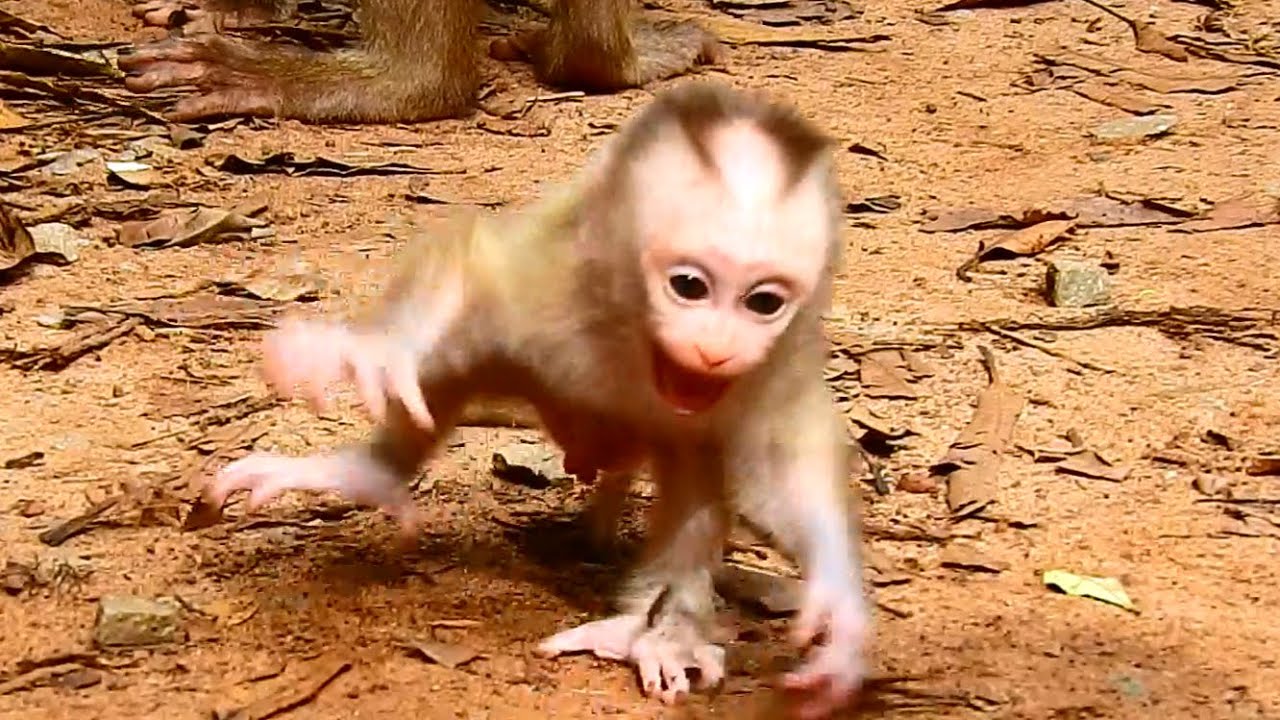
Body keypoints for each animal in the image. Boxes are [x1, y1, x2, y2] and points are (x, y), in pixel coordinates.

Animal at [206, 83, 869, 718]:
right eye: (689, 286)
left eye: (764, 303)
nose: (716, 349)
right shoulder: (556, 284)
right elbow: (473, 264)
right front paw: (370, 349)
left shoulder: (777, 360)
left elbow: (787, 453)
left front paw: (840, 601)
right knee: (453, 363)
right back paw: (367, 474)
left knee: (693, 460)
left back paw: (654, 634)